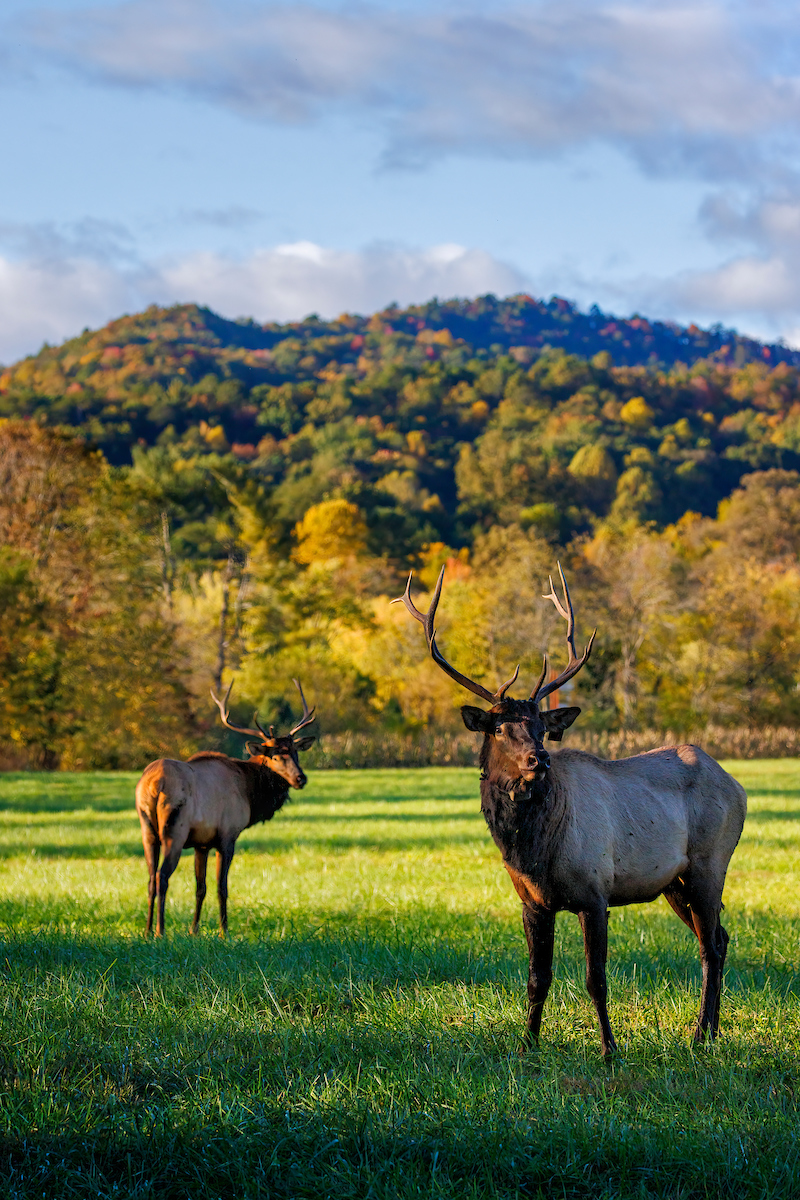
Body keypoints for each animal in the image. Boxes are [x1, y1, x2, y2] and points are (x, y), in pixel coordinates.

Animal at [135, 679, 316, 938]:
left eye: (295, 752)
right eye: (274, 756)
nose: (301, 778)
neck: (249, 791)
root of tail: (153, 784)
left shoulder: (201, 843)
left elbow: (200, 887)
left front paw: (194, 930)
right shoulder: (227, 836)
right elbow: (222, 887)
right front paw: (224, 931)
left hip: (147, 829)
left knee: (151, 877)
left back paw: (148, 930)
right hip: (174, 829)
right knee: (162, 875)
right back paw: (161, 931)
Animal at [395, 564, 746, 1057]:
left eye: (541, 726)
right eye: (499, 728)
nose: (537, 759)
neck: (535, 854)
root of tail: (736, 784)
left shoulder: (596, 892)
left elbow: (595, 979)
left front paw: (609, 1049)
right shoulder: (531, 902)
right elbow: (536, 979)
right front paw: (527, 1044)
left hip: (709, 862)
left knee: (710, 945)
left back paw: (699, 1034)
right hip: (673, 881)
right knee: (719, 937)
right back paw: (710, 1030)